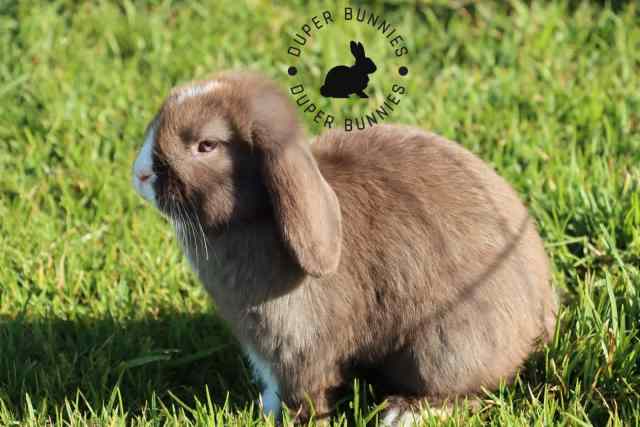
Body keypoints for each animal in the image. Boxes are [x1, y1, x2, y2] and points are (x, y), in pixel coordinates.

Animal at [132, 71, 557, 425]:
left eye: (206, 145)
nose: (140, 175)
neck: (255, 219)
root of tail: (539, 322)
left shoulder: (295, 347)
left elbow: (303, 390)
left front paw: (287, 419)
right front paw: (265, 408)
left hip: (445, 348)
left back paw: (402, 413)